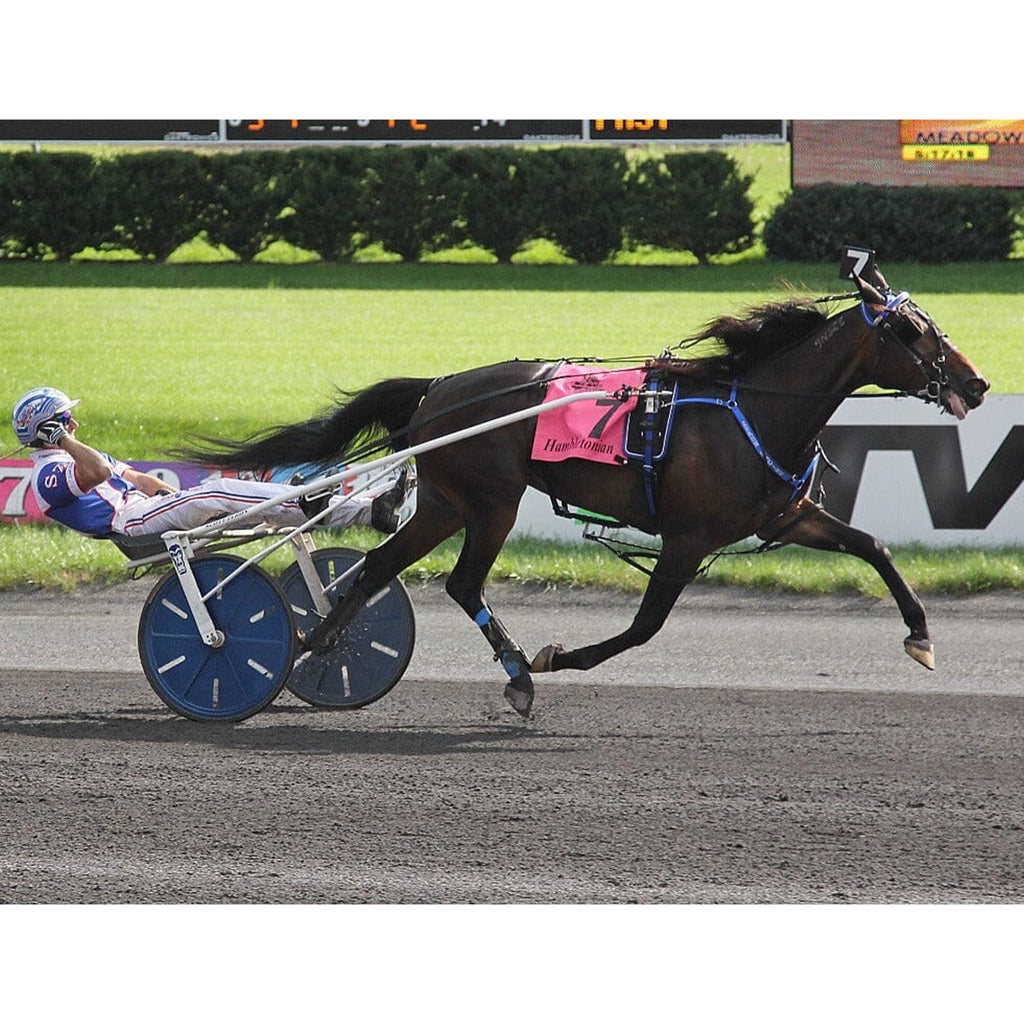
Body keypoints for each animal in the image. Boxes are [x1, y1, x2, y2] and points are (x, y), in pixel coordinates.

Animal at [186, 261, 989, 717]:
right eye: (913, 332)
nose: (979, 383)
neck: (753, 407)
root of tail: (437, 388)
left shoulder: (787, 517)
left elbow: (875, 546)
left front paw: (920, 636)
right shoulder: (687, 538)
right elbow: (645, 627)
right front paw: (555, 658)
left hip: (448, 502)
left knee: (384, 566)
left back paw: (321, 640)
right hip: (493, 501)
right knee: (462, 582)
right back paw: (517, 672)